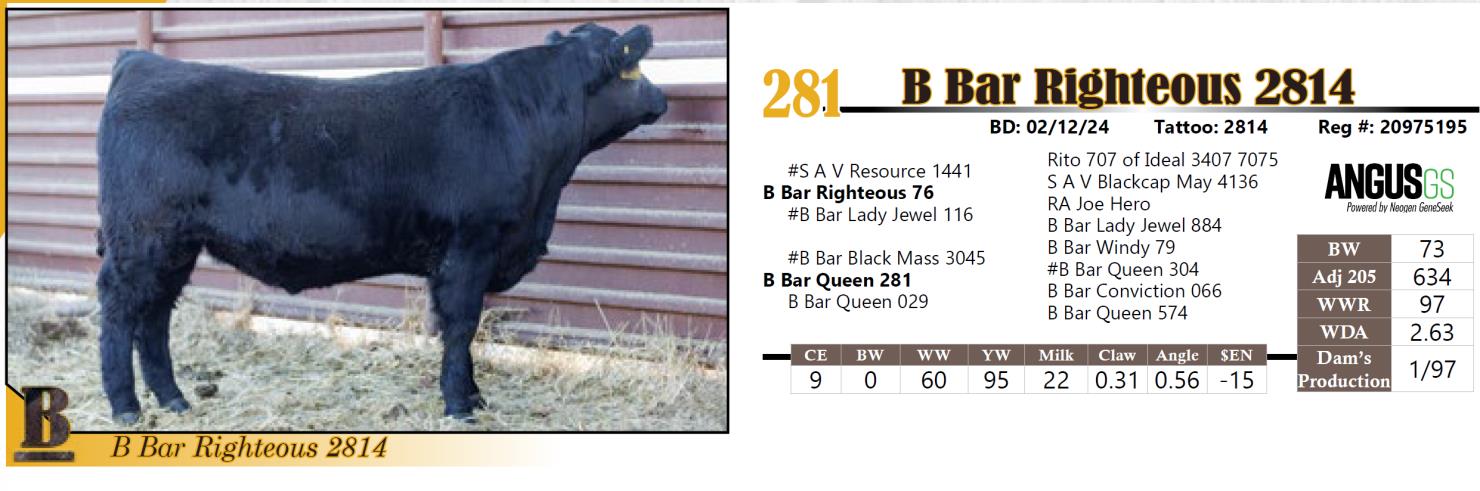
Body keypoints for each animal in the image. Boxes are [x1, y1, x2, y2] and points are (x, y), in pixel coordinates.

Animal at [94, 23, 667, 423]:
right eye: (635, 71)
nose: (663, 99)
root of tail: (141, 62)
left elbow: (462, 331)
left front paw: (474, 396)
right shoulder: (470, 246)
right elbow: (462, 325)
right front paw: (460, 405)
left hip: (175, 245)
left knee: (155, 317)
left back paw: (174, 401)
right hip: (141, 238)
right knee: (121, 312)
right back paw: (126, 408)